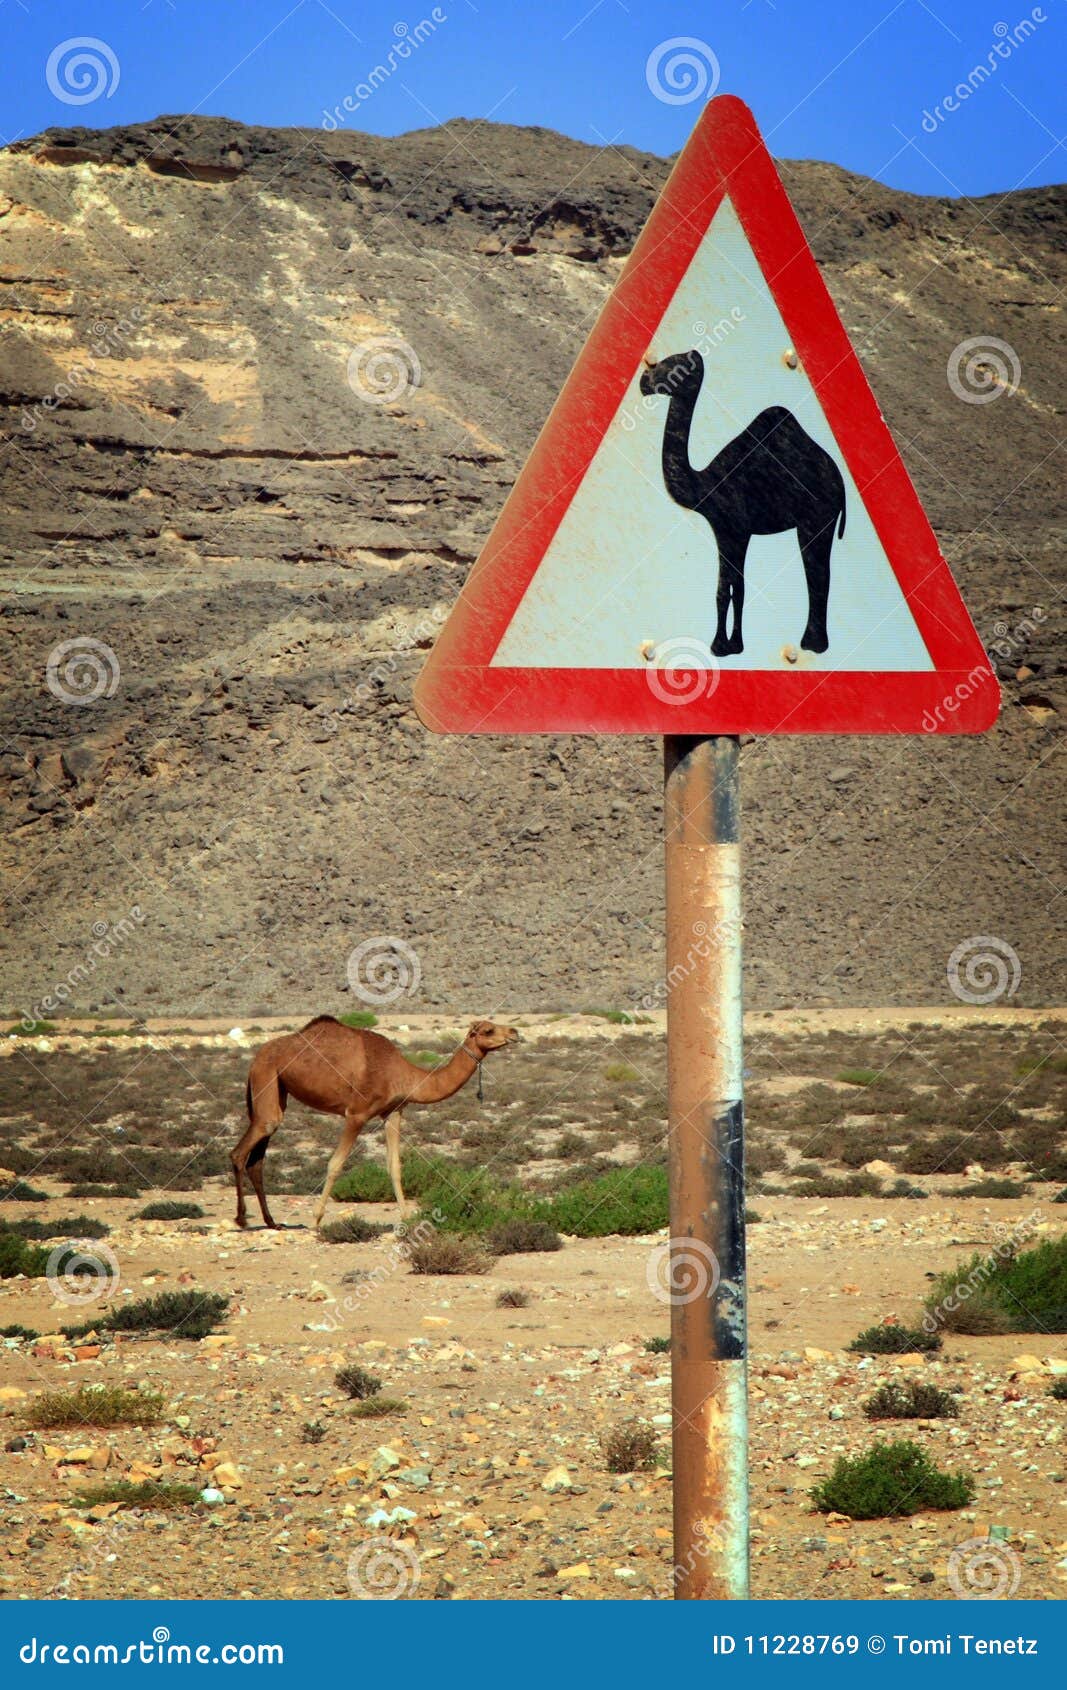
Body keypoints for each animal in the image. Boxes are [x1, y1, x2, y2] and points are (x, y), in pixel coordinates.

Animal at [230, 1016, 520, 1231]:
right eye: (488, 1029)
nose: (515, 1032)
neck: (401, 1074)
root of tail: (256, 1057)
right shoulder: (356, 1114)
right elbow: (335, 1164)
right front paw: (315, 1219)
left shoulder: (393, 1112)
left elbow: (395, 1166)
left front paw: (406, 1219)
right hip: (266, 1077)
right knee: (243, 1149)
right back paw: (243, 1219)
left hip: (278, 1090)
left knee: (258, 1156)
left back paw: (271, 1222)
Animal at [639, 349, 846, 657]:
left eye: (672, 364)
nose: (643, 381)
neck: (705, 482)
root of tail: (839, 478)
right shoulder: (726, 530)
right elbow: (734, 587)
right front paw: (733, 645)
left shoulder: (734, 528)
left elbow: (728, 588)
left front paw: (719, 646)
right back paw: (812, 644)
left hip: (818, 515)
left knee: (818, 571)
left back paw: (813, 645)